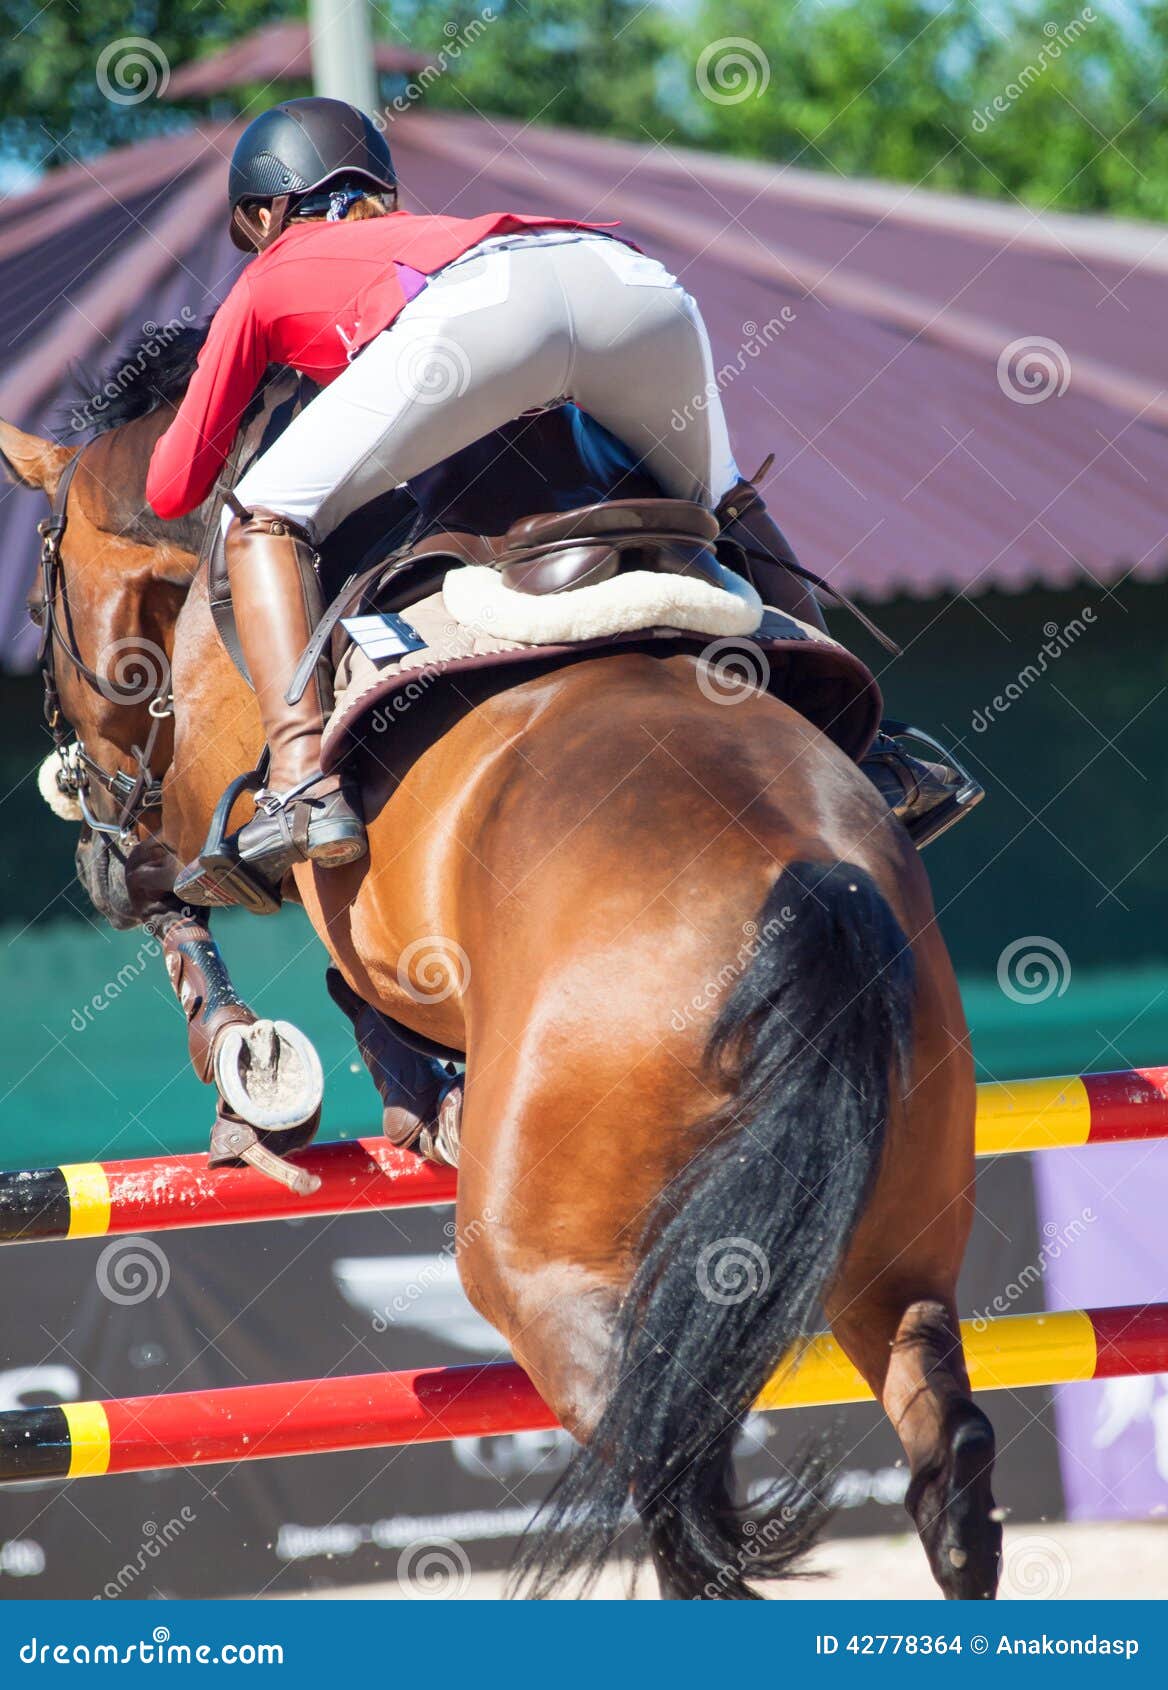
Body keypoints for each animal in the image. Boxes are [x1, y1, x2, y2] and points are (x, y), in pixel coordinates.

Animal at [0, 341, 1001, 1599]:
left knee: (679, 1487)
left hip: (549, 1271)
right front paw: (403, 1097)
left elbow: (174, 900)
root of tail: (810, 888)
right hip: (896, 1244)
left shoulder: (211, 823)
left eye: (46, 595)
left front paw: (252, 1079)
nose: (81, 788)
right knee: (948, 1463)